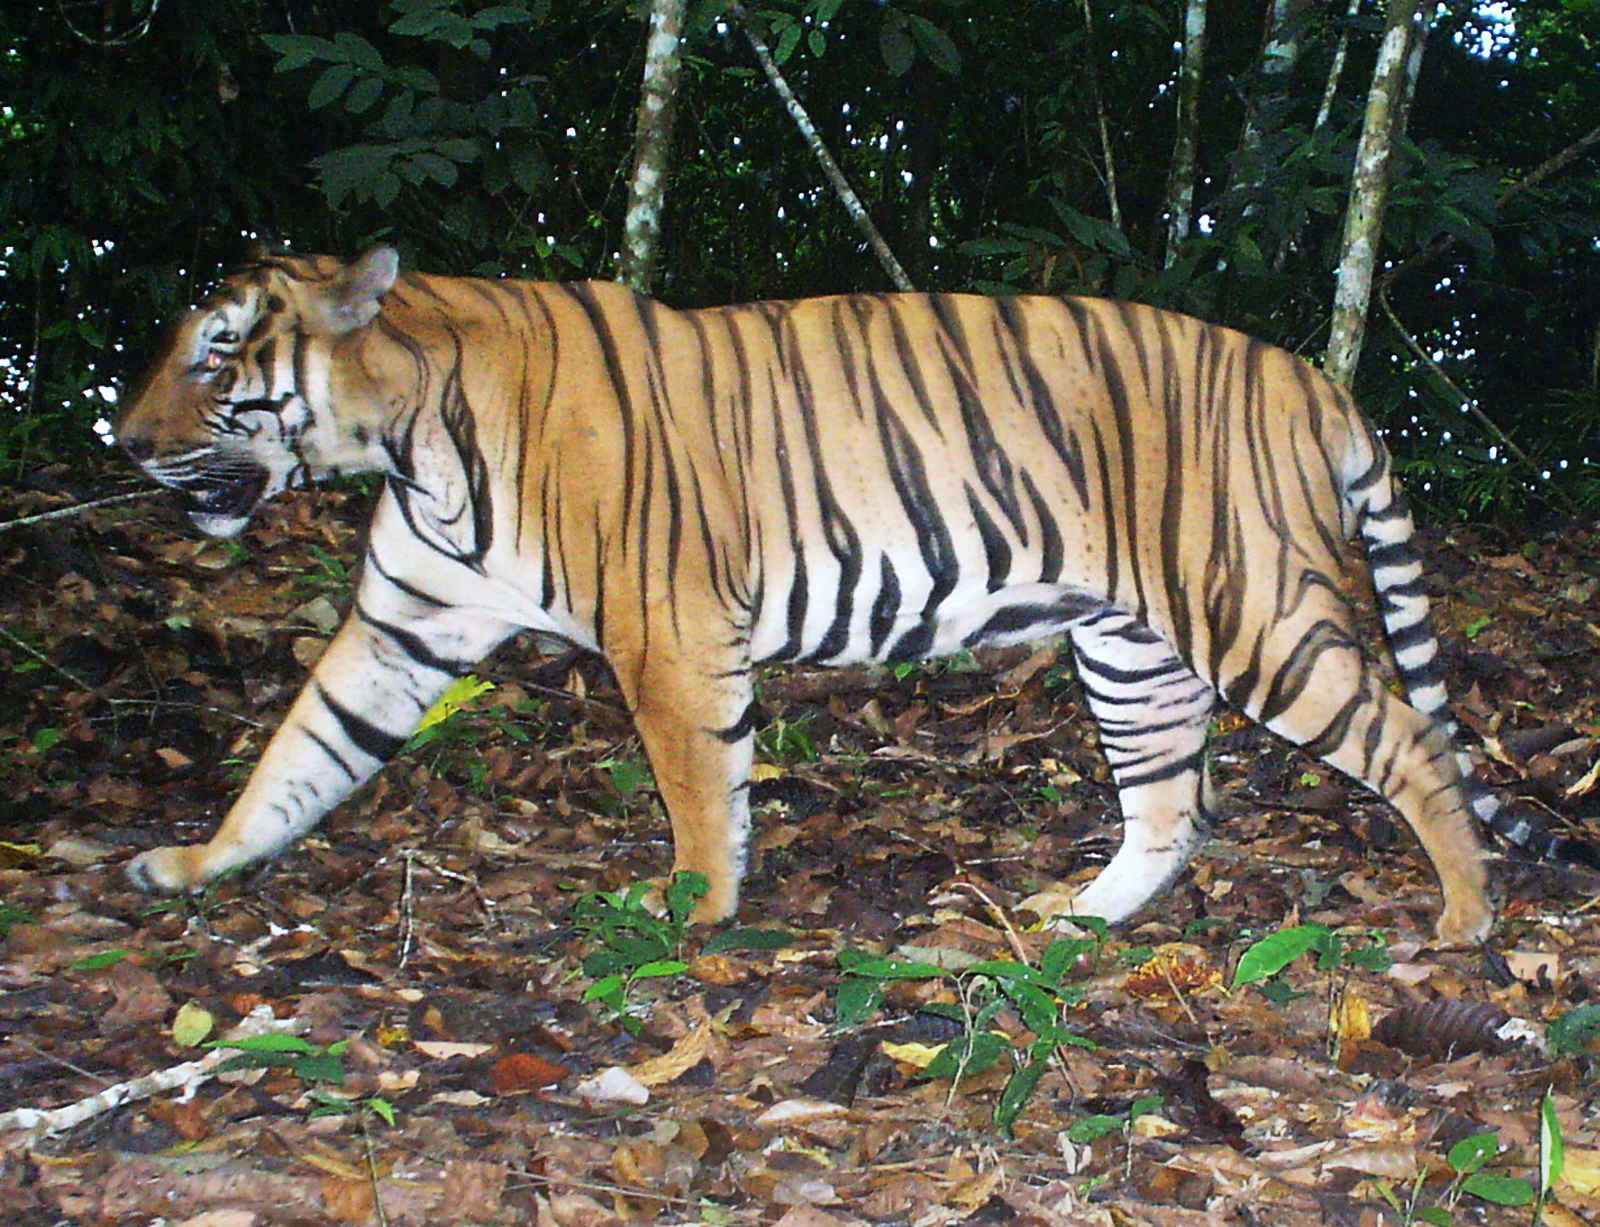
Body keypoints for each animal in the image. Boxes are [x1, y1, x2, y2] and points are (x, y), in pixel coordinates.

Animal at [116, 245, 1559, 946]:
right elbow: (302, 750)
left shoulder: (668, 631)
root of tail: (1314, 375)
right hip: (1133, 645)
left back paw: (1465, 919)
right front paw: (200, 861)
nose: (120, 442)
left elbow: (701, 788)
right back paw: (1078, 922)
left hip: (1251, 609)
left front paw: (691, 913)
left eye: (217, 355)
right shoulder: (402, 627)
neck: (411, 444)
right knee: (1170, 805)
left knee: (1407, 740)